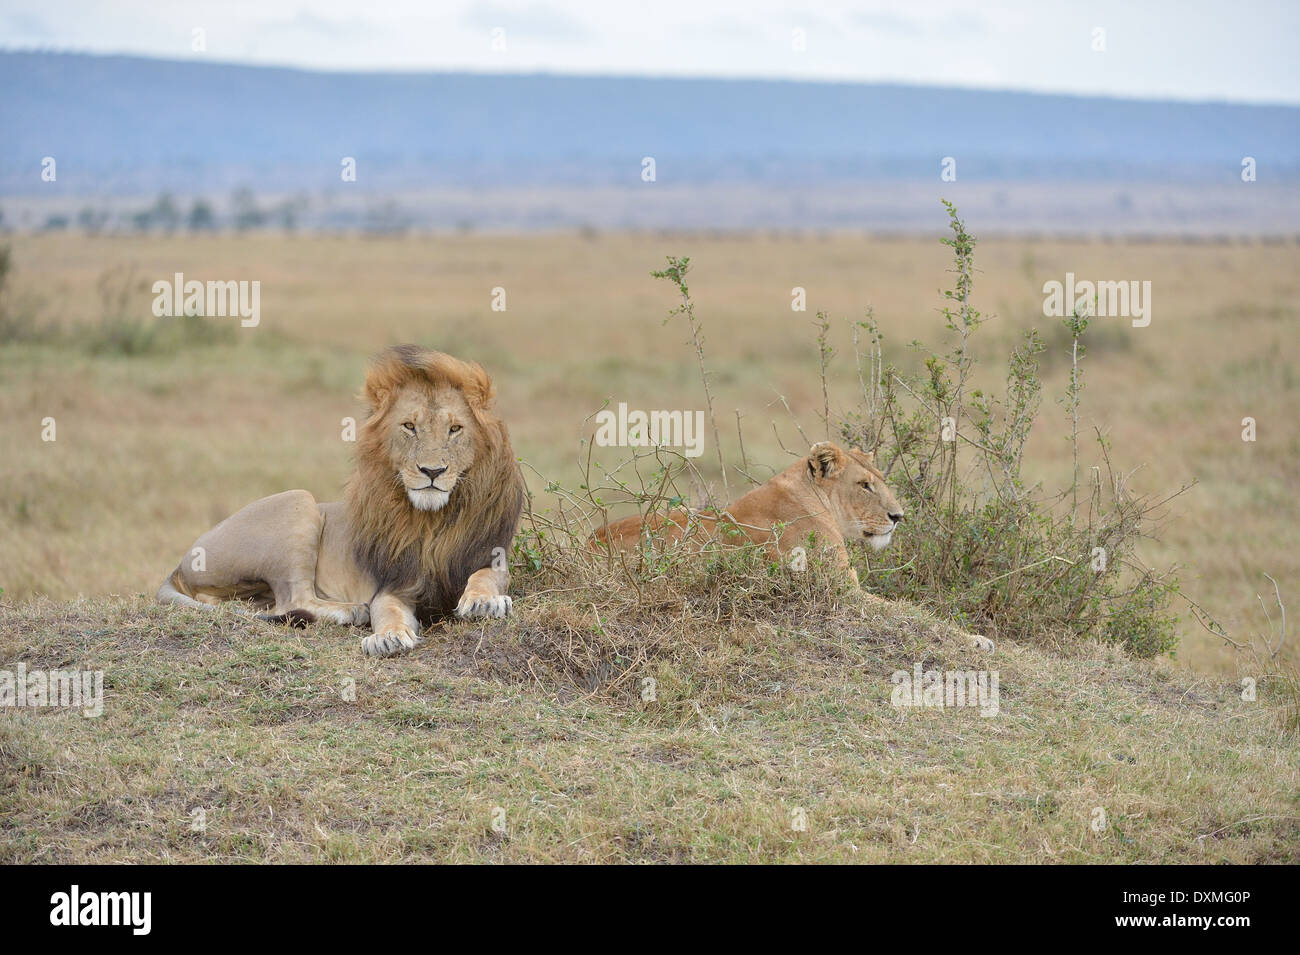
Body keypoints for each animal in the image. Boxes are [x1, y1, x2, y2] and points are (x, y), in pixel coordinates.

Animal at [156, 344, 525, 657]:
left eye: (455, 429)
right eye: (409, 426)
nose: (432, 471)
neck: (430, 521)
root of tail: (179, 564)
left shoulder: (489, 554)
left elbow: (485, 577)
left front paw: (483, 603)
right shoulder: (393, 585)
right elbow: (387, 610)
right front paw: (387, 637)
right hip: (300, 502)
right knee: (293, 601)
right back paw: (353, 611)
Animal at [592, 441, 993, 651]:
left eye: (880, 480)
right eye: (864, 485)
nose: (898, 516)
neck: (812, 498)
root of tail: (590, 541)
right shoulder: (843, 592)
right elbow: (917, 615)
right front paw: (977, 640)